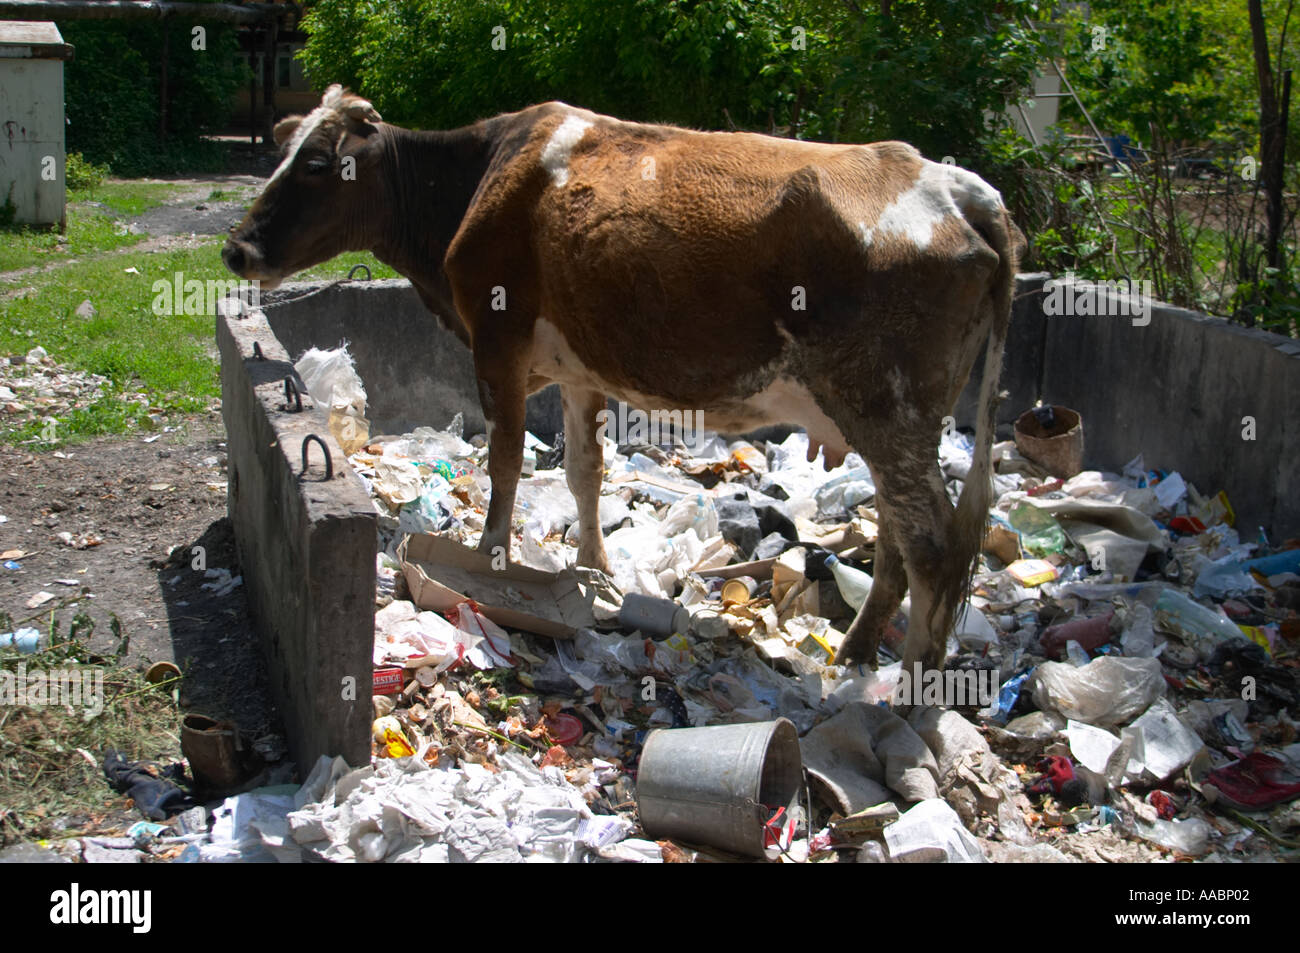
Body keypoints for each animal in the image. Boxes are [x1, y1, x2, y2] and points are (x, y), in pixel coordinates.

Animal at [224, 85, 1025, 677]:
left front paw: (491, 560)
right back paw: (858, 651)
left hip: (885, 405)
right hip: (899, 419)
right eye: (283, 149)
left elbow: (505, 463)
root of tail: (957, 184)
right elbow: (585, 470)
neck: (475, 178)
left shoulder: (498, 342)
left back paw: (909, 692)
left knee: (932, 546)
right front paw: (594, 570)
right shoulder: (580, 369)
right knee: (897, 532)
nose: (236, 249)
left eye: (318, 163)